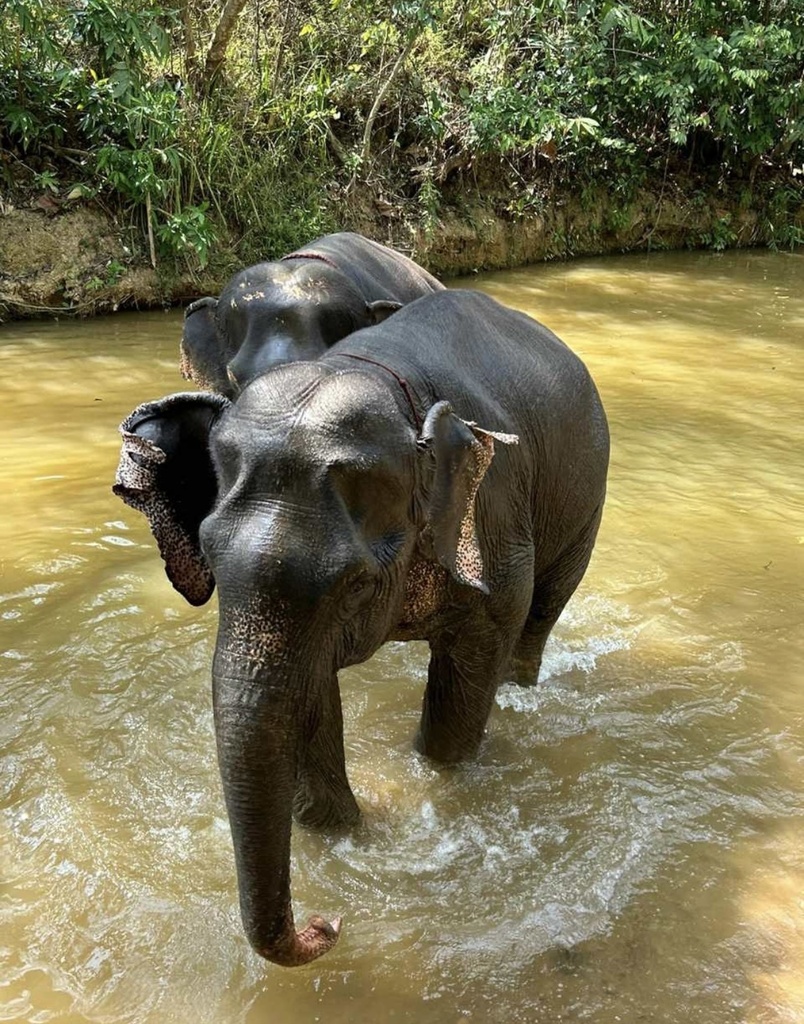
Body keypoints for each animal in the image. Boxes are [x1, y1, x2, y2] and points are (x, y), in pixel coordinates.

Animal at [113, 288, 610, 968]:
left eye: (353, 583)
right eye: (210, 556)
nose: (328, 923)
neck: (373, 376)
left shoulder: (496, 525)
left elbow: (477, 658)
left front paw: (439, 777)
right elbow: (308, 690)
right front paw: (341, 833)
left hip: (585, 502)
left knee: (539, 616)